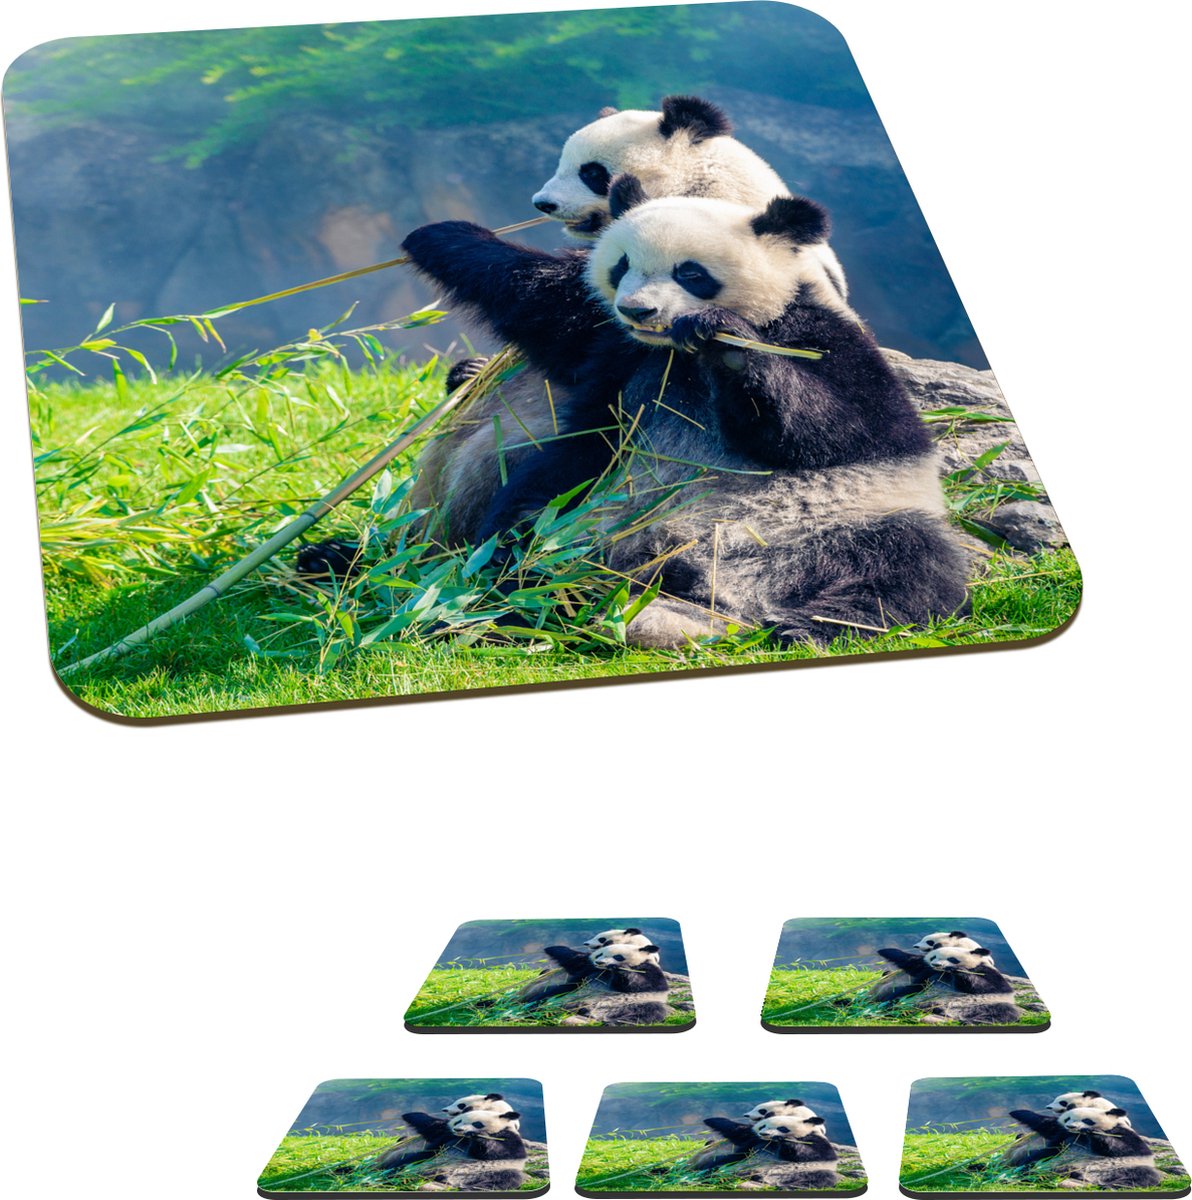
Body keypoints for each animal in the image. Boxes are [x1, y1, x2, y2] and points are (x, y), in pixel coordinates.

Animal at [373, 1108, 526, 1190]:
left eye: (477, 1123)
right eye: (458, 1121)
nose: (458, 1129)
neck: (463, 1139)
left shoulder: (510, 1138)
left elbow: (500, 1151)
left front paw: (479, 1137)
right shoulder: (446, 1135)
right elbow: (431, 1124)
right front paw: (411, 1114)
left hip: (489, 1172)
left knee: (505, 1179)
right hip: (425, 1160)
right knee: (405, 1164)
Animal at [402, 94, 846, 548]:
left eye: (592, 173)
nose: (542, 203)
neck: (709, 185)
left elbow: (560, 312)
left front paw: (442, 236)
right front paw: (466, 369)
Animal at [405, 179, 967, 645]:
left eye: (691, 273)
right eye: (621, 265)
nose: (639, 310)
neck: (678, 355)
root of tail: (715, 595)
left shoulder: (818, 334)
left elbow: (836, 427)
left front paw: (728, 343)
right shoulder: (618, 352)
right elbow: (544, 303)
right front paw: (440, 237)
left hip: (848, 520)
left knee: (908, 568)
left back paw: (812, 625)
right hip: (589, 514)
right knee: (530, 525)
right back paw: (508, 595)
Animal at [1006, 1107, 1162, 1189]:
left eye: (1087, 1120)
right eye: (1067, 1119)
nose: (1072, 1126)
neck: (1079, 1136)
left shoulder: (1124, 1133)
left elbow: (1127, 1149)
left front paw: (1094, 1133)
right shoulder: (1062, 1133)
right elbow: (1043, 1123)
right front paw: (1018, 1112)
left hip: (1122, 1168)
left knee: (1143, 1175)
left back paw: (1110, 1186)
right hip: (1051, 1161)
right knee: (1033, 1161)